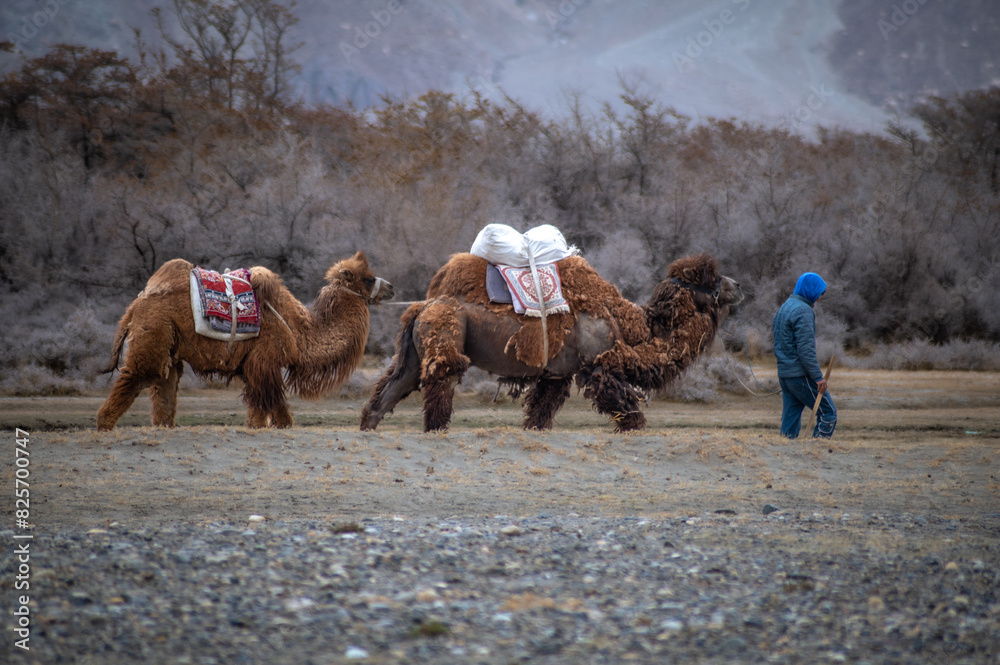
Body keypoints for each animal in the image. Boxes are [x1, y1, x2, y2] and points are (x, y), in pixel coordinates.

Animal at [97, 251, 393, 430]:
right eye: (368, 279)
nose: (391, 288)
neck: (298, 331)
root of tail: (136, 305)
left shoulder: (254, 367)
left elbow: (263, 411)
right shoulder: (265, 361)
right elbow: (274, 408)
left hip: (170, 345)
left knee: (165, 384)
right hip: (155, 330)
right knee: (137, 374)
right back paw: (104, 425)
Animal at [360, 252, 742, 432]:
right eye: (706, 279)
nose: (737, 286)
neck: (629, 326)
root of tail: (421, 307)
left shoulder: (556, 373)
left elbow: (540, 414)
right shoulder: (597, 365)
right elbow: (628, 411)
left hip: (414, 350)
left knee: (391, 389)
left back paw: (368, 427)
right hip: (446, 337)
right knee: (441, 379)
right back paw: (437, 429)